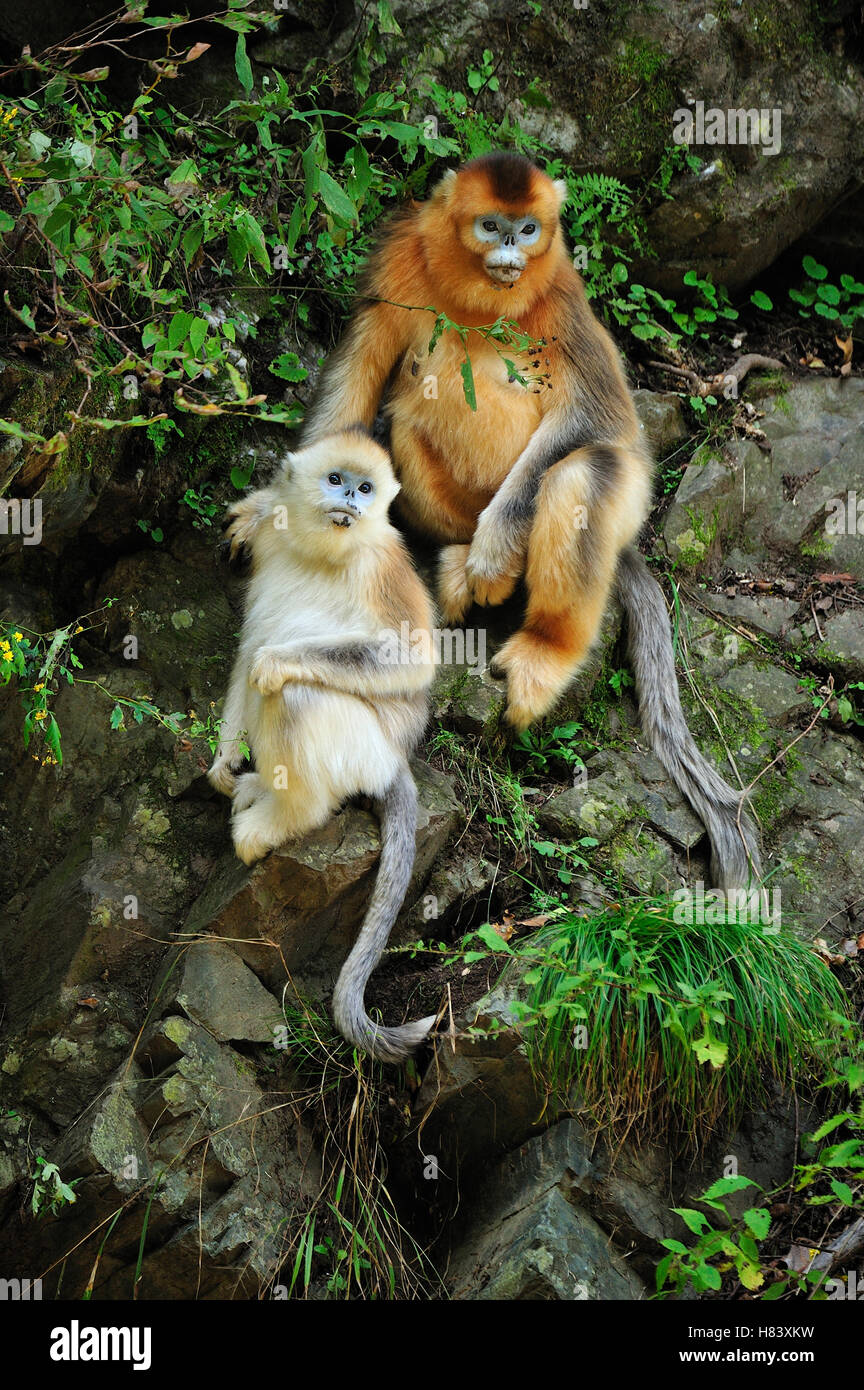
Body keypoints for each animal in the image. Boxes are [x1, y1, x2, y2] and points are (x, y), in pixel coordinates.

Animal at [208, 430, 438, 1062]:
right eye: (336, 480)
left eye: (365, 488)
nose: (351, 502)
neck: (325, 552)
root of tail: (396, 763)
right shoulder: (270, 538)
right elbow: (246, 648)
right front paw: (223, 761)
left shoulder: (380, 564)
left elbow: (410, 659)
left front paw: (277, 660)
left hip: (361, 749)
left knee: (292, 693)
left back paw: (287, 814)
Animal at [281, 151, 761, 891]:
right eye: (491, 225)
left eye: (528, 229)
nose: (509, 251)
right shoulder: (398, 262)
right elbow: (358, 380)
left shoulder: (561, 293)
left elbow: (598, 419)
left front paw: (496, 549)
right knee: (403, 416)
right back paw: (455, 561)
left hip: (617, 510)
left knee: (584, 472)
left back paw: (542, 645)